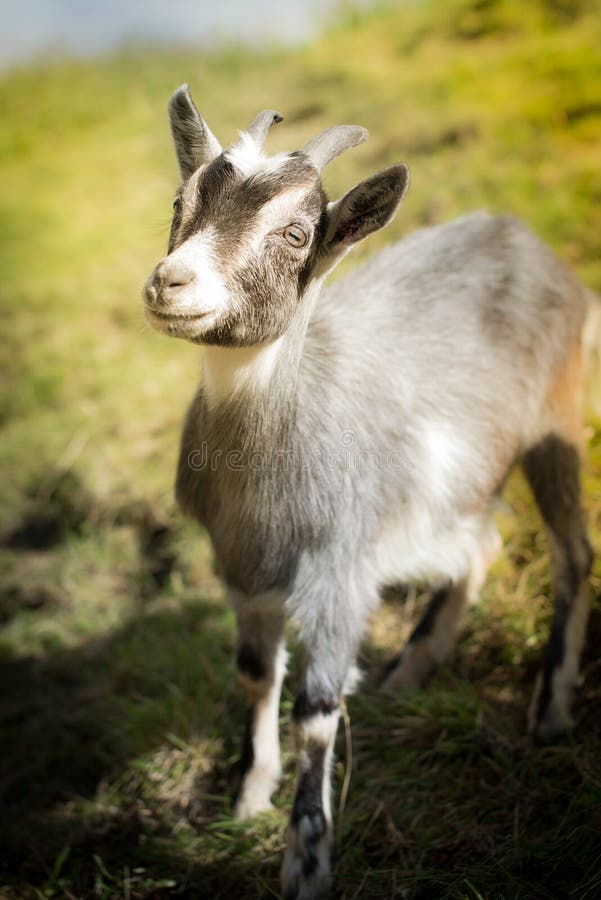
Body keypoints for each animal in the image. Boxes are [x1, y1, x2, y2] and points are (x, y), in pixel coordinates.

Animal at [143, 84, 594, 899]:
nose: (170, 283)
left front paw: (306, 860)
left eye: (296, 233)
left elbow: (316, 708)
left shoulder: (337, 573)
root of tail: (522, 239)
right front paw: (249, 797)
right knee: (484, 543)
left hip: (558, 423)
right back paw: (410, 669)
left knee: (573, 552)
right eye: (179, 201)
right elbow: (256, 676)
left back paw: (549, 713)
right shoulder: (244, 572)